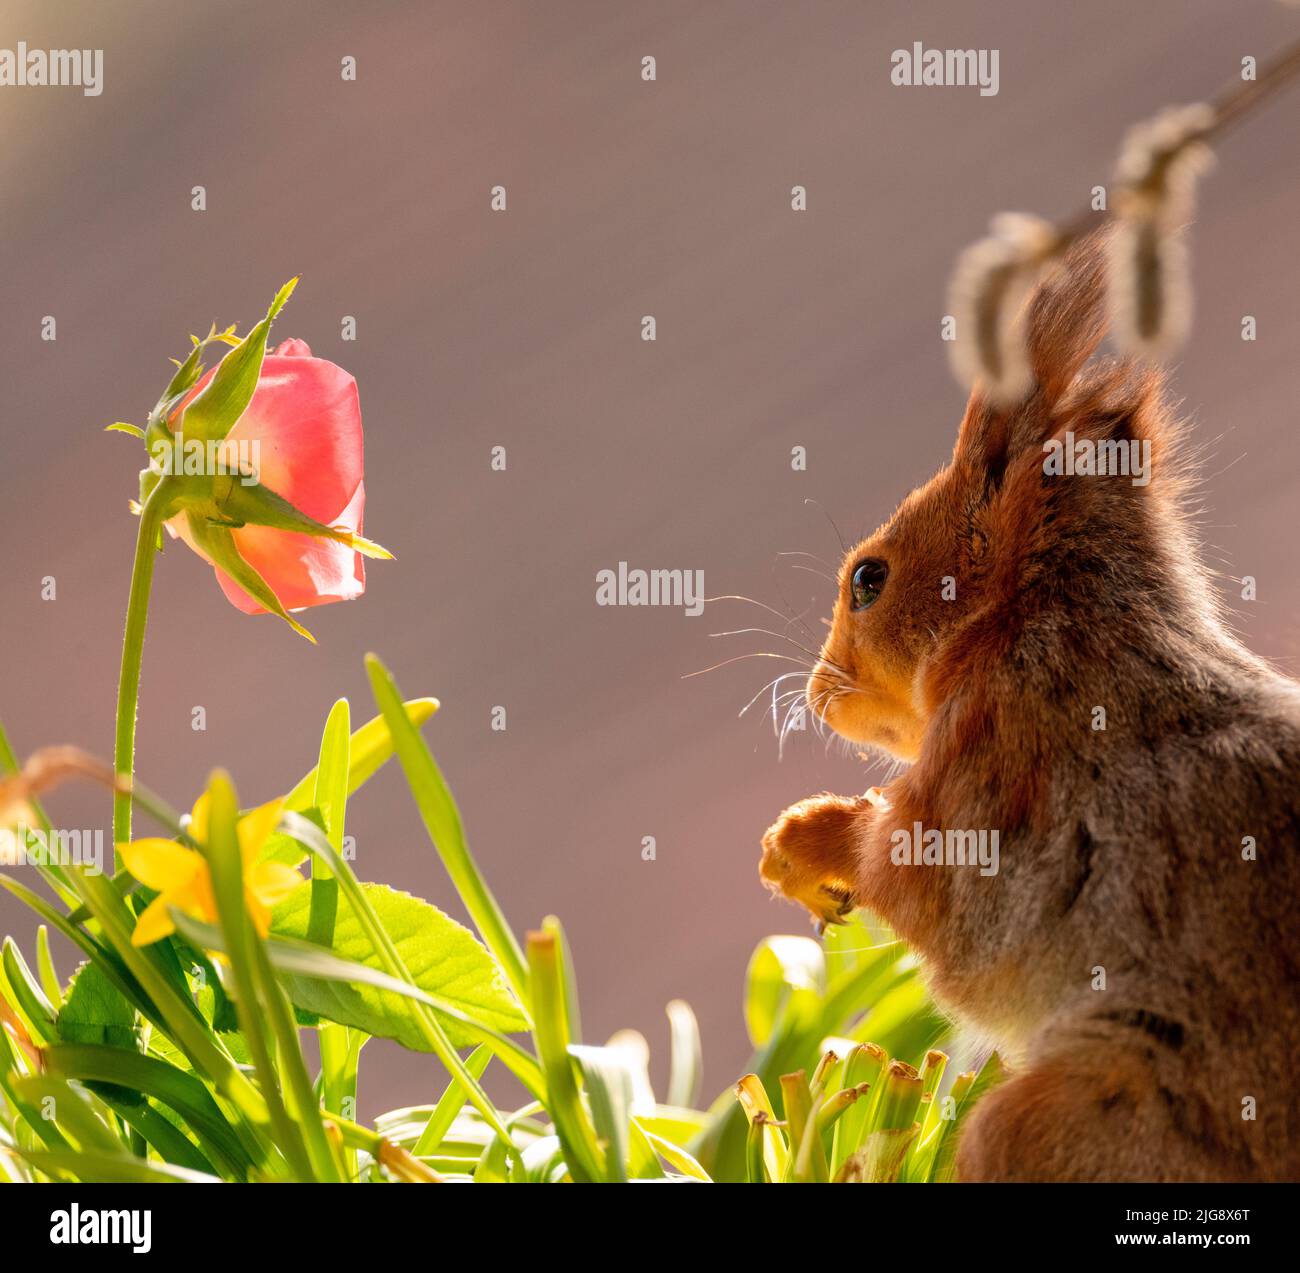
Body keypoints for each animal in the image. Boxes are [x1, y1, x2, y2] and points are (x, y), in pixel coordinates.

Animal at [758, 231, 1300, 1182]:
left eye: (869, 579)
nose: (820, 691)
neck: (1033, 619)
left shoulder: (1003, 761)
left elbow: (941, 896)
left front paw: (812, 837)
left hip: (1074, 1124)